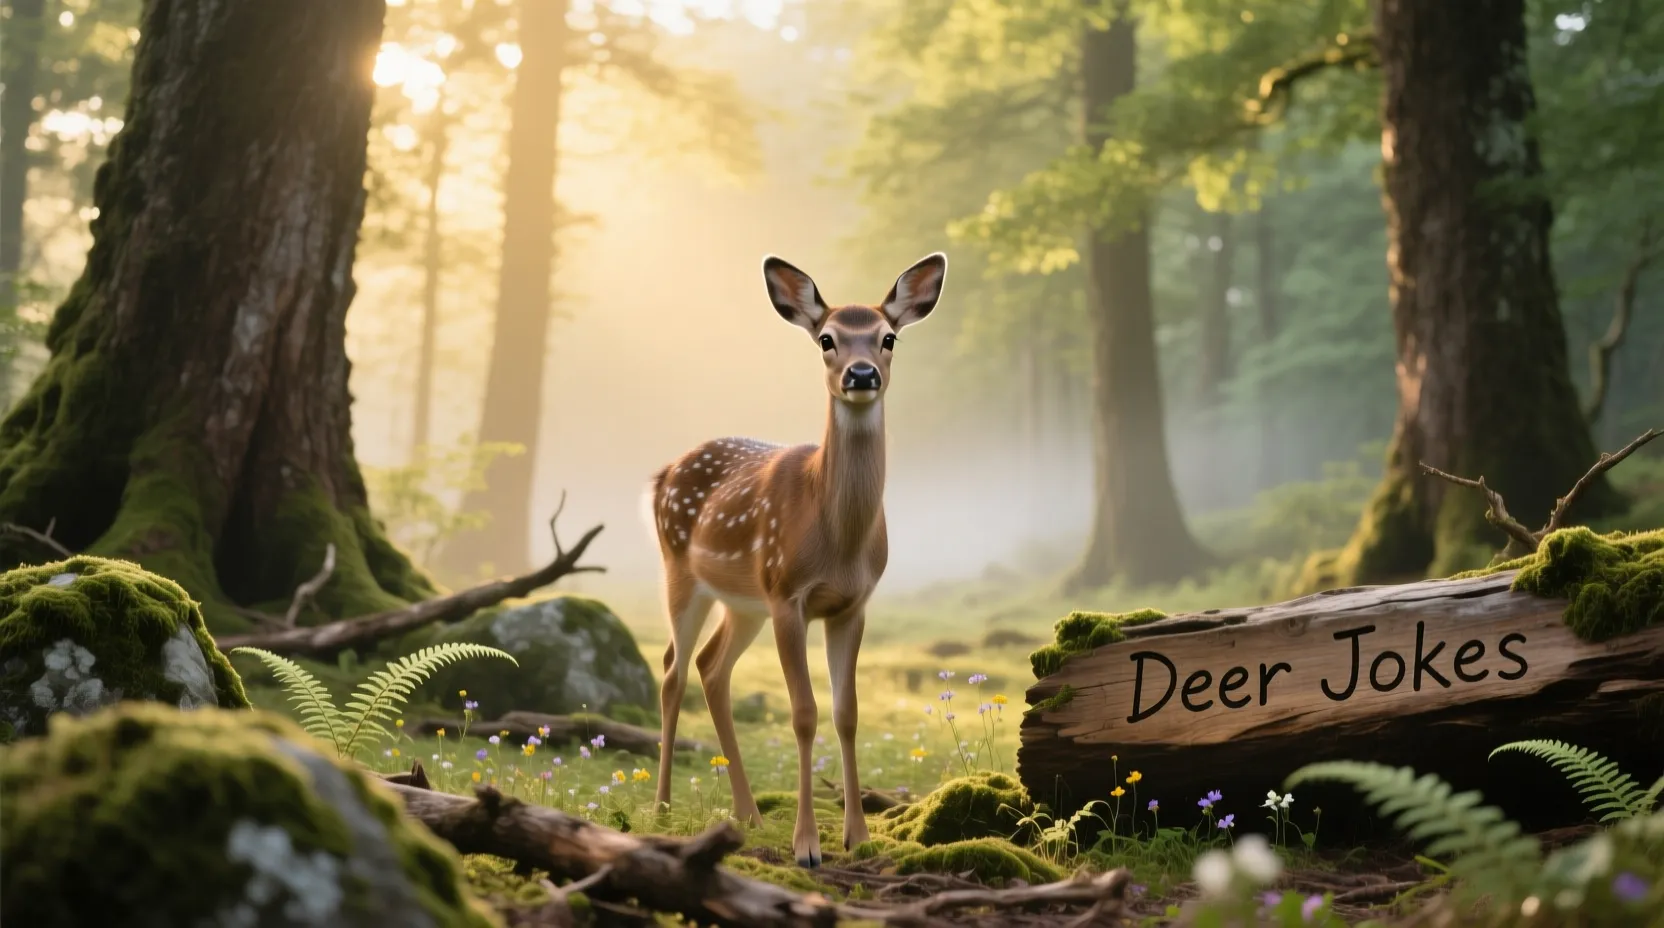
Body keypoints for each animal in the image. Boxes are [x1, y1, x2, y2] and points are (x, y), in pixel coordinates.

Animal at [645, 252, 949, 868]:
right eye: (827, 338)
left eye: (888, 338)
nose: (862, 374)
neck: (836, 540)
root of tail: (663, 473)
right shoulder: (788, 596)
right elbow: (803, 713)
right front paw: (807, 845)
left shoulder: (853, 604)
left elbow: (846, 713)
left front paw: (858, 836)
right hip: (683, 572)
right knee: (672, 670)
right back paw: (662, 808)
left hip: (744, 602)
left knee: (711, 667)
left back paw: (748, 813)